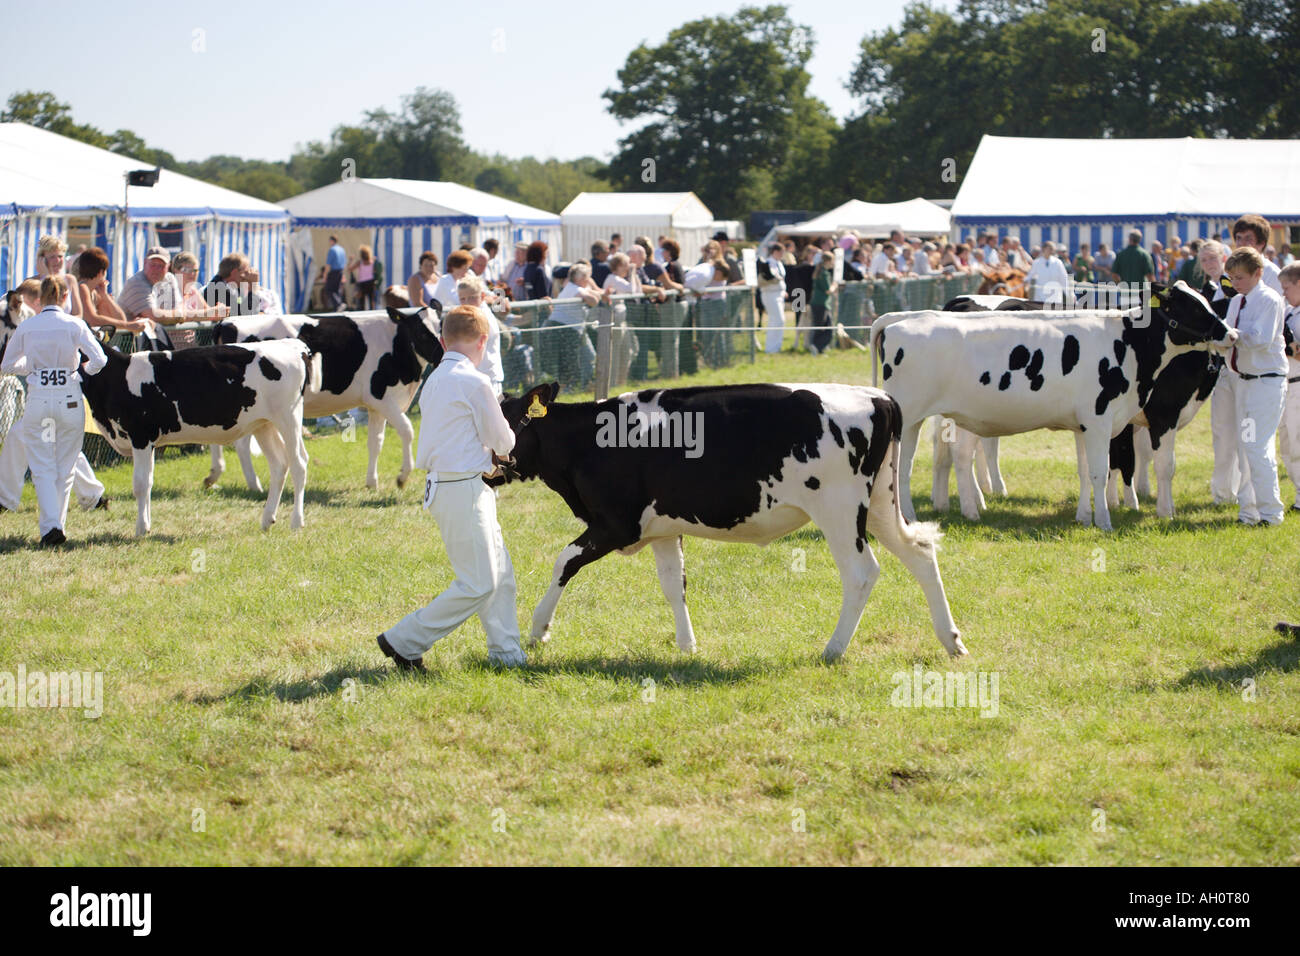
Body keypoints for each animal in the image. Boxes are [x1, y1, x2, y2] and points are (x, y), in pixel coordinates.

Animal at [78, 339, 320, 536]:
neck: (116, 377)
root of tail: (293, 345)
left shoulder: (141, 436)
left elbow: (140, 484)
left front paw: (141, 529)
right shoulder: (148, 442)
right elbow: (148, 482)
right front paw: (146, 524)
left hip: (288, 417)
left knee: (299, 463)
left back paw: (296, 522)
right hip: (264, 424)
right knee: (279, 465)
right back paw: (267, 519)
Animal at [207, 305, 443, 491]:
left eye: (441, 327)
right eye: (422, 333)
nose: (442, 355)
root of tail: (228, 322)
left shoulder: (375, 406)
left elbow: (375, 442)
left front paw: (372, 483)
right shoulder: (382, 397)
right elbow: (407, 430)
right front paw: (402, 477)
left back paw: (215, 475)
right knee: (241, 444)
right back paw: (253, 484)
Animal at [488, 381, 966, 662]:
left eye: (499, 419)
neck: (589, 442)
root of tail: (877, 396)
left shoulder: (616, 524)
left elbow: (564, 561)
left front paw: (538, 630)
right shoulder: (662, 527)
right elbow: (673, 584)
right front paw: (687, 646)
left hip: (840, 510)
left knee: (862, 573)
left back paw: (832, 650)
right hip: (882, 504)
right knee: (921, 553)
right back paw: (951, 640)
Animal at [870, 281, 1237, 530]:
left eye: (1210, 303)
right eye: (1193, 307)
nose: (1232, 334)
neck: (1128, 344)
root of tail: (902, 320)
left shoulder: (1086, 424)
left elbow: (1086, 471)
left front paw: (1085, 516)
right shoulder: (1106, 419)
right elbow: (1104, 470)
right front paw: (1106, 521)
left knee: (922, 462)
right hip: (911, 414)